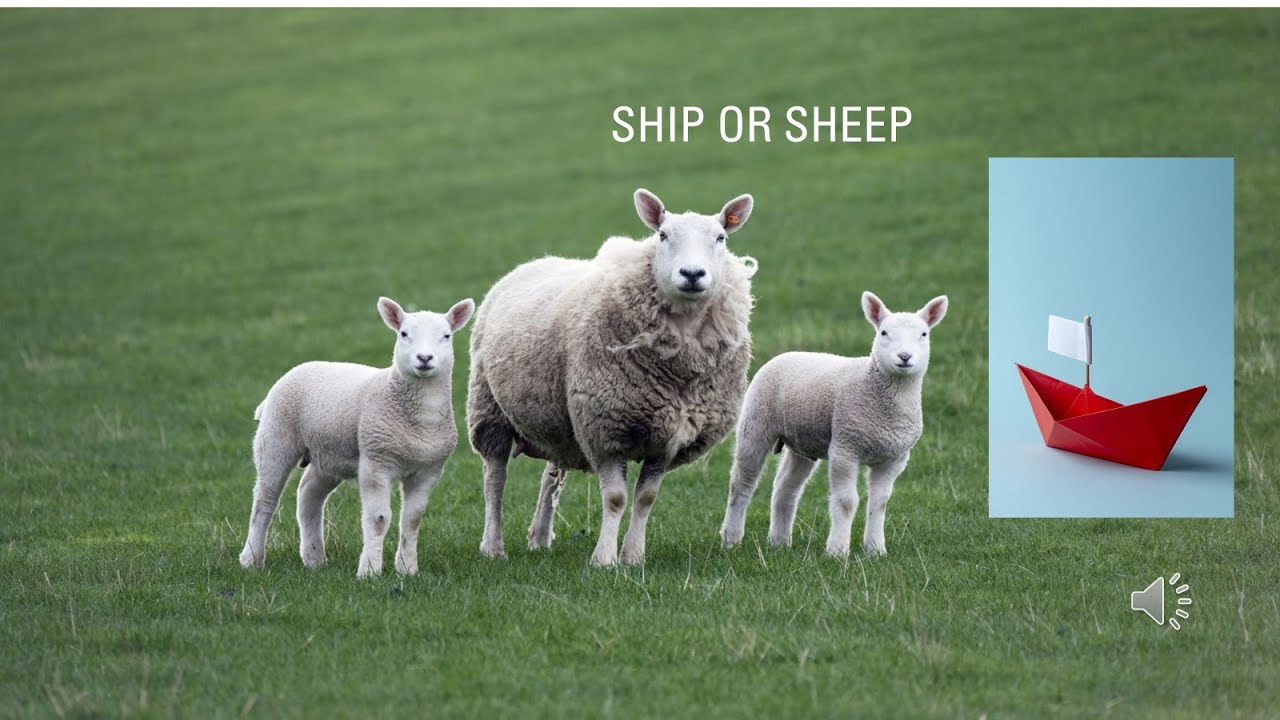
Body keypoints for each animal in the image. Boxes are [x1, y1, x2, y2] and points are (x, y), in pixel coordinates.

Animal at [238, 296, 475, 578]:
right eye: (404, 334)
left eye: (446, 336)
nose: (425, 358)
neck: (420, 423)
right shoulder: (376, 462)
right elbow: (379, 519)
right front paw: (370, 570)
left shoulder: (428, 470)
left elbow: (412, 520)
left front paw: (407, 569)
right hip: (276, 438)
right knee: (264, 502)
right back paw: (251, 559)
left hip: (328, 454)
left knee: (309, 494)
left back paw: (314, 558)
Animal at [467, 188, 758, 566]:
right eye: (662, 235)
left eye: (721, 237)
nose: (692, 273)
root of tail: (533, 263)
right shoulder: (605, 430)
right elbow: (616, 498)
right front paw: (604, 559)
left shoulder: (667, 438)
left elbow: (645, 499)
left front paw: (633, 556)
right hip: (489, 407)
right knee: (494, 478)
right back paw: (493, 546)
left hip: (560, 421)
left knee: (550, 477)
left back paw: (540, 538)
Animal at [720, 291, 948, 558]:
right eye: (883, 333)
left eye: (924, 334)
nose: (904, 357)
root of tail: (788, 354)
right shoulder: (845, 448)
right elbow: (846, 501)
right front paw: (838, 551)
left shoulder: (894, 458)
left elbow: (880, 502)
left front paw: (876, 549)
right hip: (755, 423)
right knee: (741, 484)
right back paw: (731, 539)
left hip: (801, 443)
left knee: (785, 487)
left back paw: (779, 542)